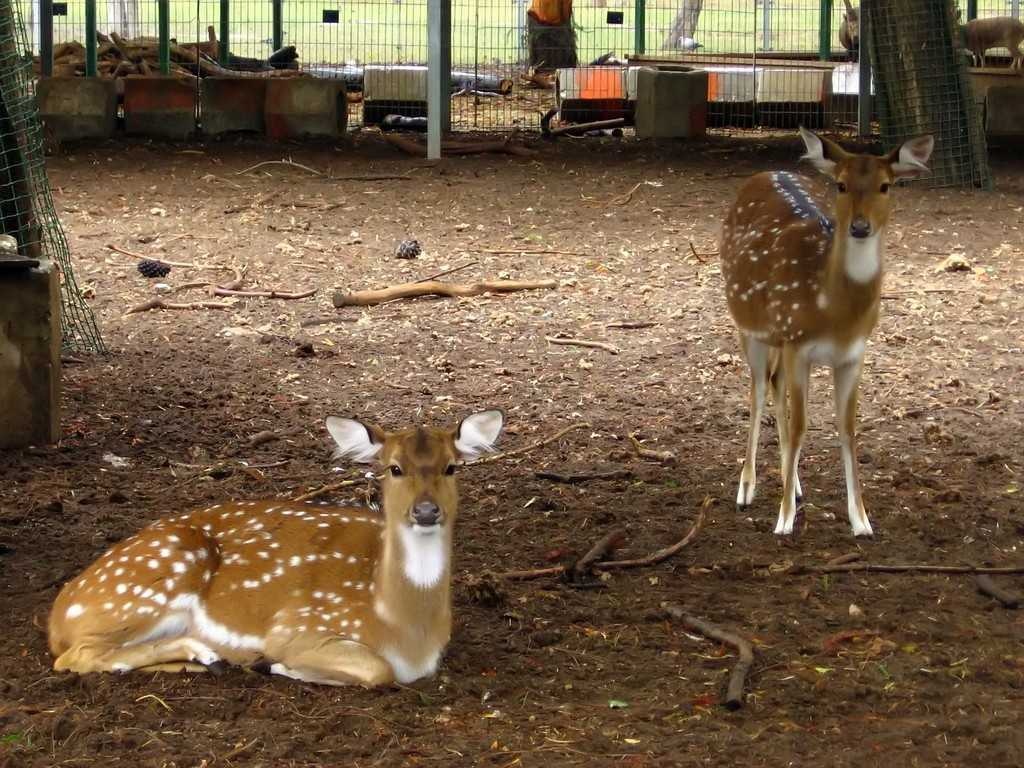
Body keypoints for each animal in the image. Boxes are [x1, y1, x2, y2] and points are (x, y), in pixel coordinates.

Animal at [48, 410, 505, 686]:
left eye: (451, 467)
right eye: (394, 468)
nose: (426, 511)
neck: (406, 630)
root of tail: (57, 615)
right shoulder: (298, 625)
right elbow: (378, 670)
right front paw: (281, 665)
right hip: (151, 582)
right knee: (75, 656)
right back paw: (209, 653)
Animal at [719, 127, 933, 537]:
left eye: (886, 186)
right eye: (841, 184)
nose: (860, 227)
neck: (833, 312)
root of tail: (764, 173)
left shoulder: (853, 354)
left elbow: (847, 428)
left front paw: (861, 520)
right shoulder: (798, 343)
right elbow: (802, 425)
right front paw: (784, 520)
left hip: (778, 339)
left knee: (774, 383)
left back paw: (794, 483)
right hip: (750, 325)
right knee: (758, 390)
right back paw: (746, 488)